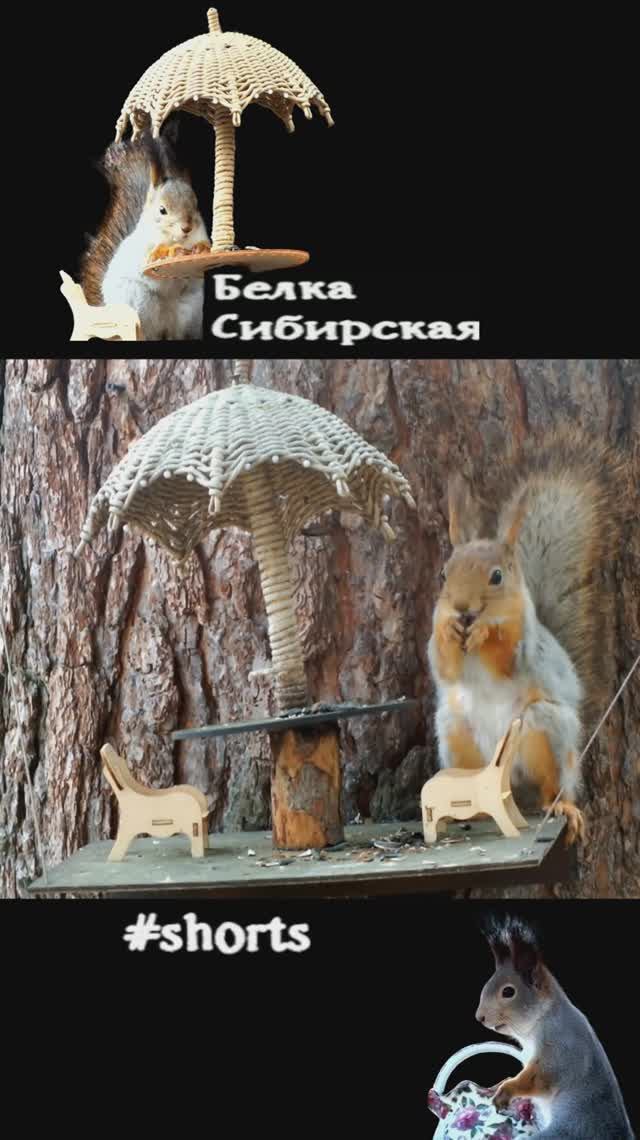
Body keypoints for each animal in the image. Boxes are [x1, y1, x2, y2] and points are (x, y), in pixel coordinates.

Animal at [81, 129, 209, 340]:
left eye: (197, 205)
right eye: (162, 210)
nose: (186, 228)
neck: (176, 239)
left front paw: (199, 249)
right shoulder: (142, 251)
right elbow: (150, 261)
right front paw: (171, 251)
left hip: (189, 312)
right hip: (138, 306)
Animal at [427, 427, 627, 844]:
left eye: (497, 576)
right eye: (444, 574)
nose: (463, 608)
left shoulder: (525, 644)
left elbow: (505, 657)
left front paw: (485, 632)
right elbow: (443, 665)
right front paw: (449, 630)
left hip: (545, 731)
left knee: (552, 789)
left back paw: (562, 805)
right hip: (455, 732)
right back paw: (468, 811)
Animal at [476, 916, 634, 1137]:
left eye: (508, 992)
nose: (479, 1017)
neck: (542, 1019)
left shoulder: (561, 1047)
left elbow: (540, 1077)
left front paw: (507, 1088)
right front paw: (498, 1084)